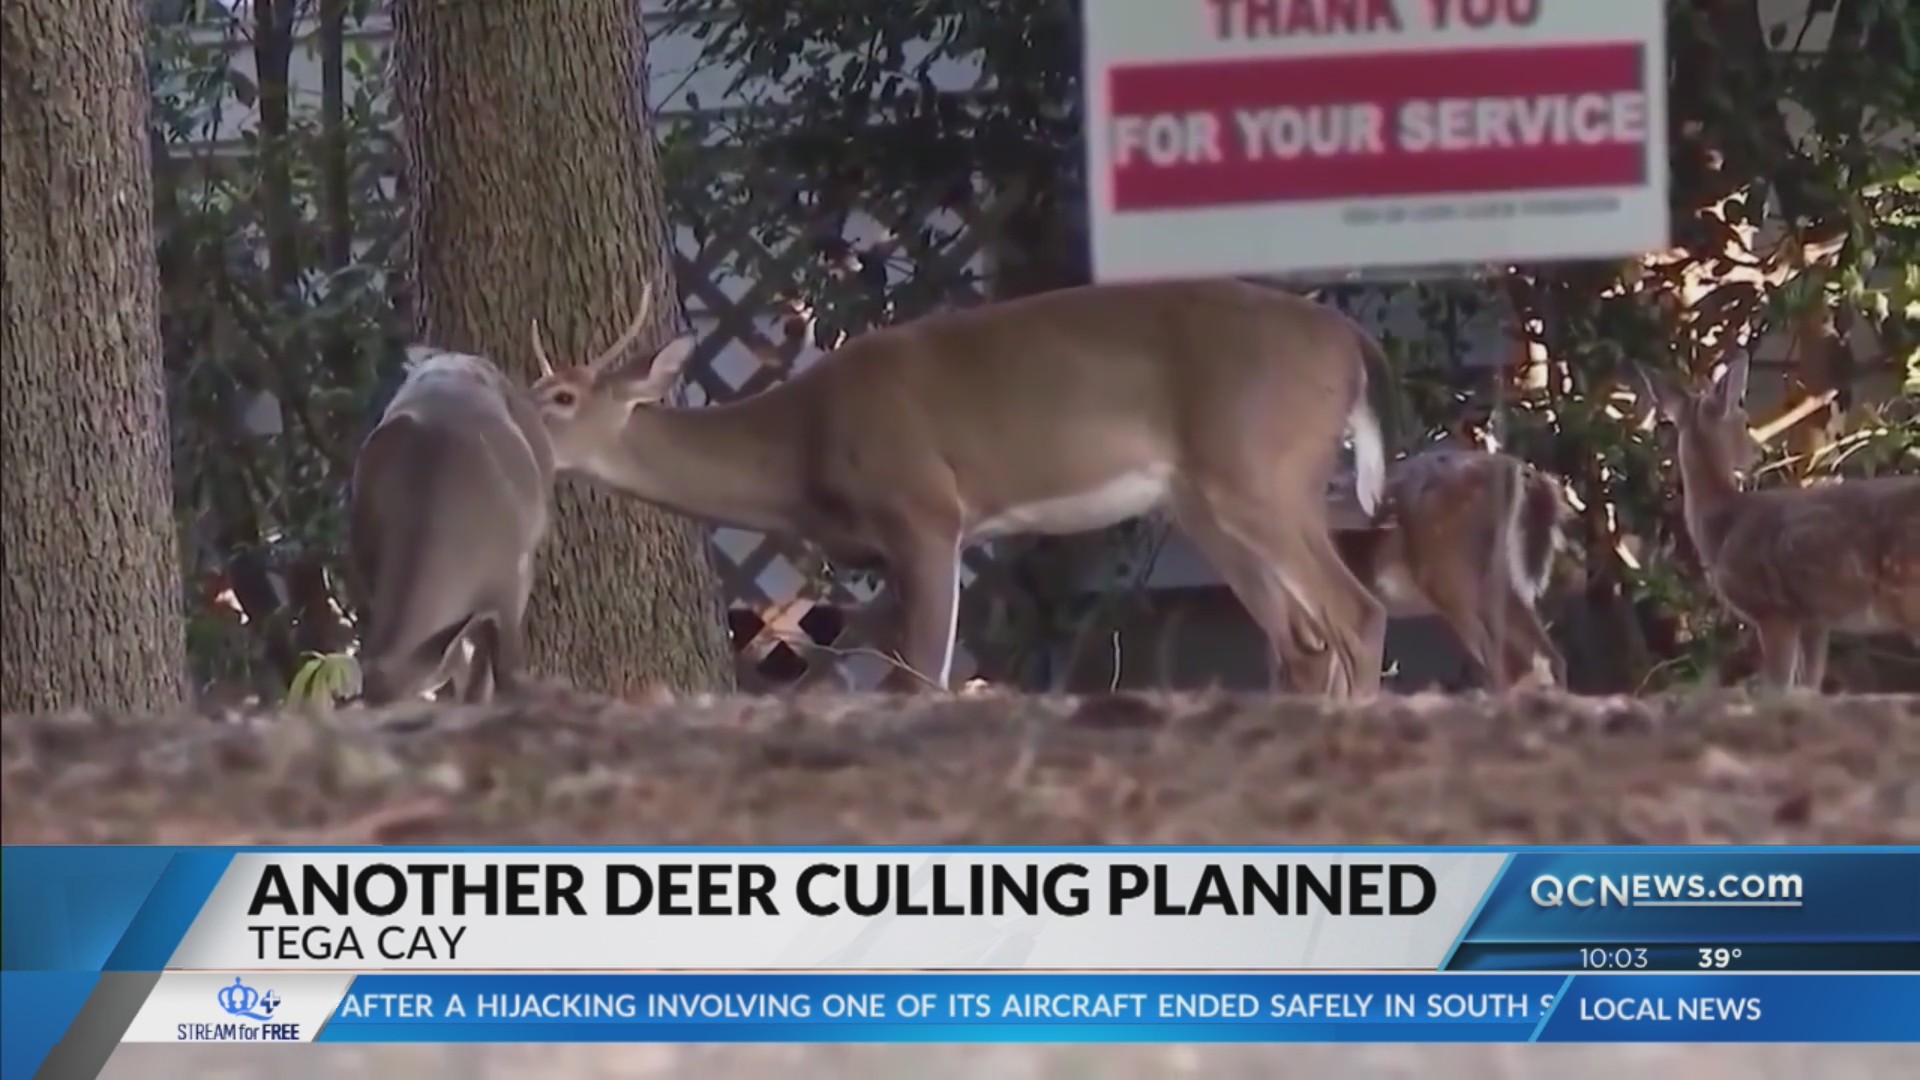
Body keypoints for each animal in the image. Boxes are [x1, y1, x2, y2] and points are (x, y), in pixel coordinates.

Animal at [525, 278, 1397, 696]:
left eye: (560, 398)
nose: (515, 426)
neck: (801, 451)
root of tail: (1352, 341)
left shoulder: (924, 512)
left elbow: (925, 679)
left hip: (1262, 470)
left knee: (1357, 612)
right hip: (1205, 501)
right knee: (1303, 642)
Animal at [1639, 354, 1920, 690]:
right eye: (1744, 422)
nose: (1757, 453)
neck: (1723, 522)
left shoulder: (1772, 610)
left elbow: (1778, 688)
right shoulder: (1813, 619)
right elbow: (1808, 684)